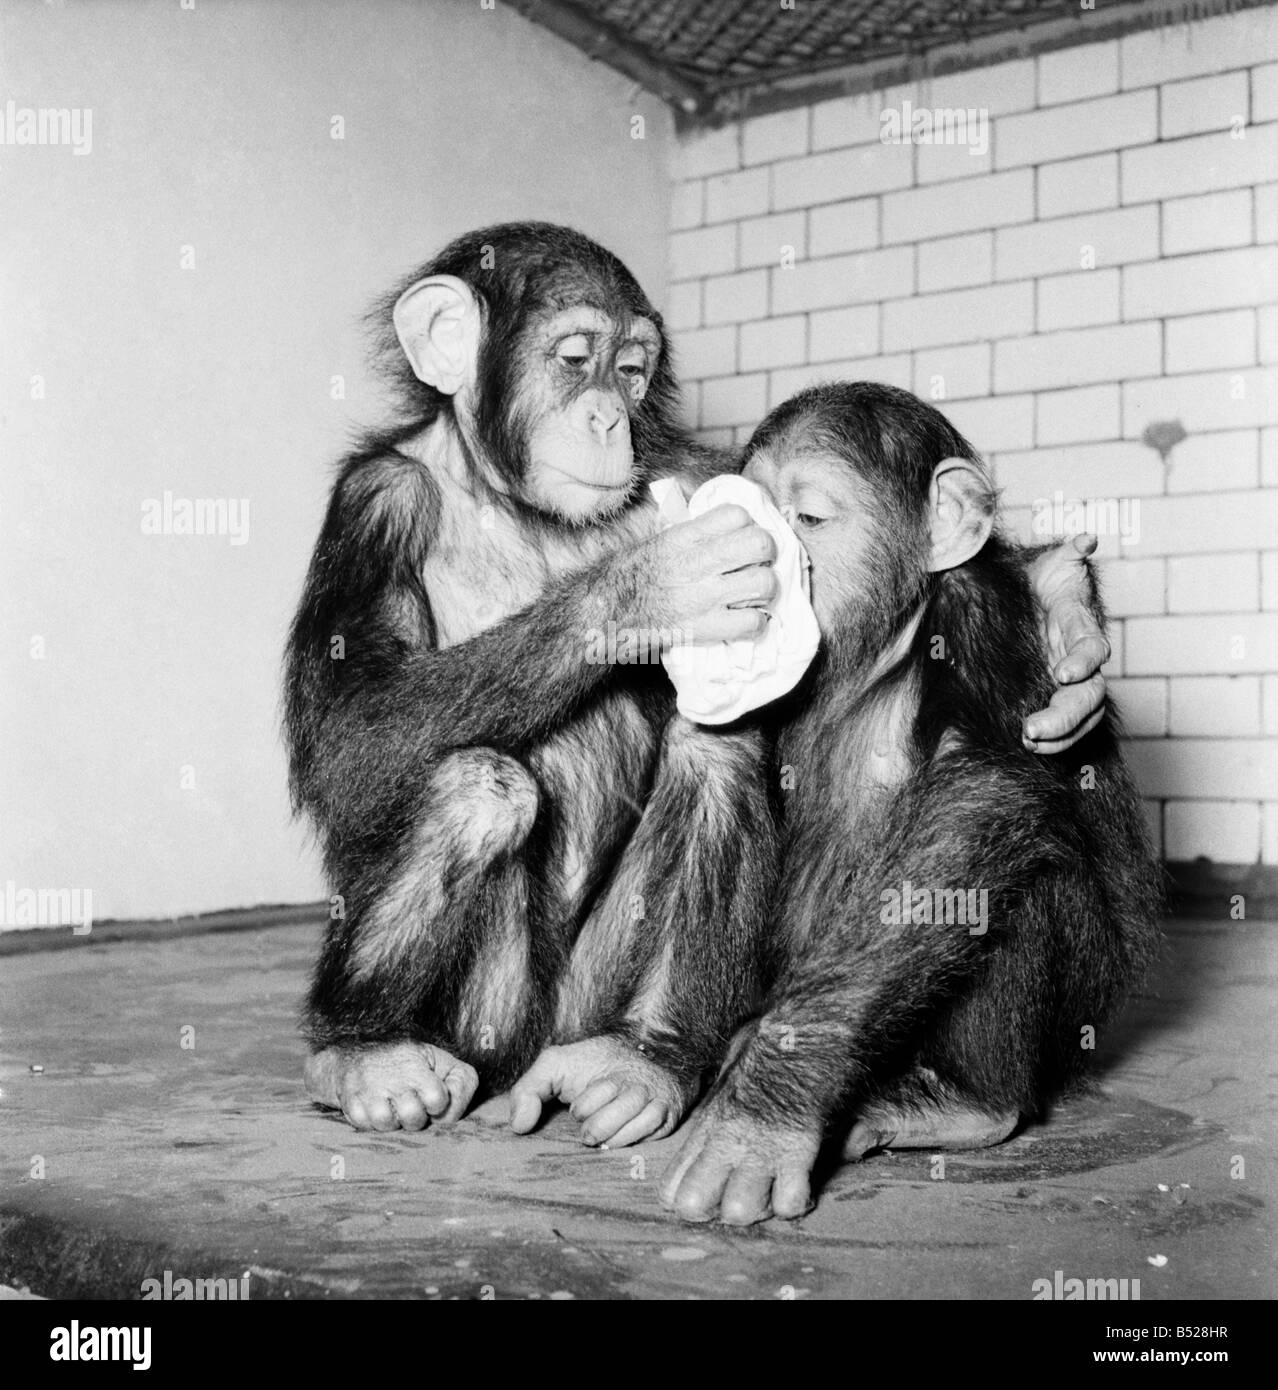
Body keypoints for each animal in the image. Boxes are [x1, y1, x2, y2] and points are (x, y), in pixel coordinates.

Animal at [284, 223, 1118, 1150]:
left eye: (633, 370)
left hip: (594, 991)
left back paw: (643, 1060)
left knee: (710, 746)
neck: (521, 505)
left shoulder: (685, 469)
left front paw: (1069, 621)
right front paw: (648, 588)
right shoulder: (374, 507)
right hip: (490, 1021)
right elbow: (352, 737)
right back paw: (365, 1051)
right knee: (480, 788)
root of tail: (535, 1053)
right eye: (576, 357)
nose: (608, 414)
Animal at [658, 382, 1162, 1225]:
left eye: (808, 517)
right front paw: (640, 1062)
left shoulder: (979, 619)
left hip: (1077, 1021)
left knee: (1010, 869)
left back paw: (969, 1104)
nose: (757, 567)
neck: (880, 657)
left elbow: (978, 790)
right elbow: (714, 764)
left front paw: (763, 1110)